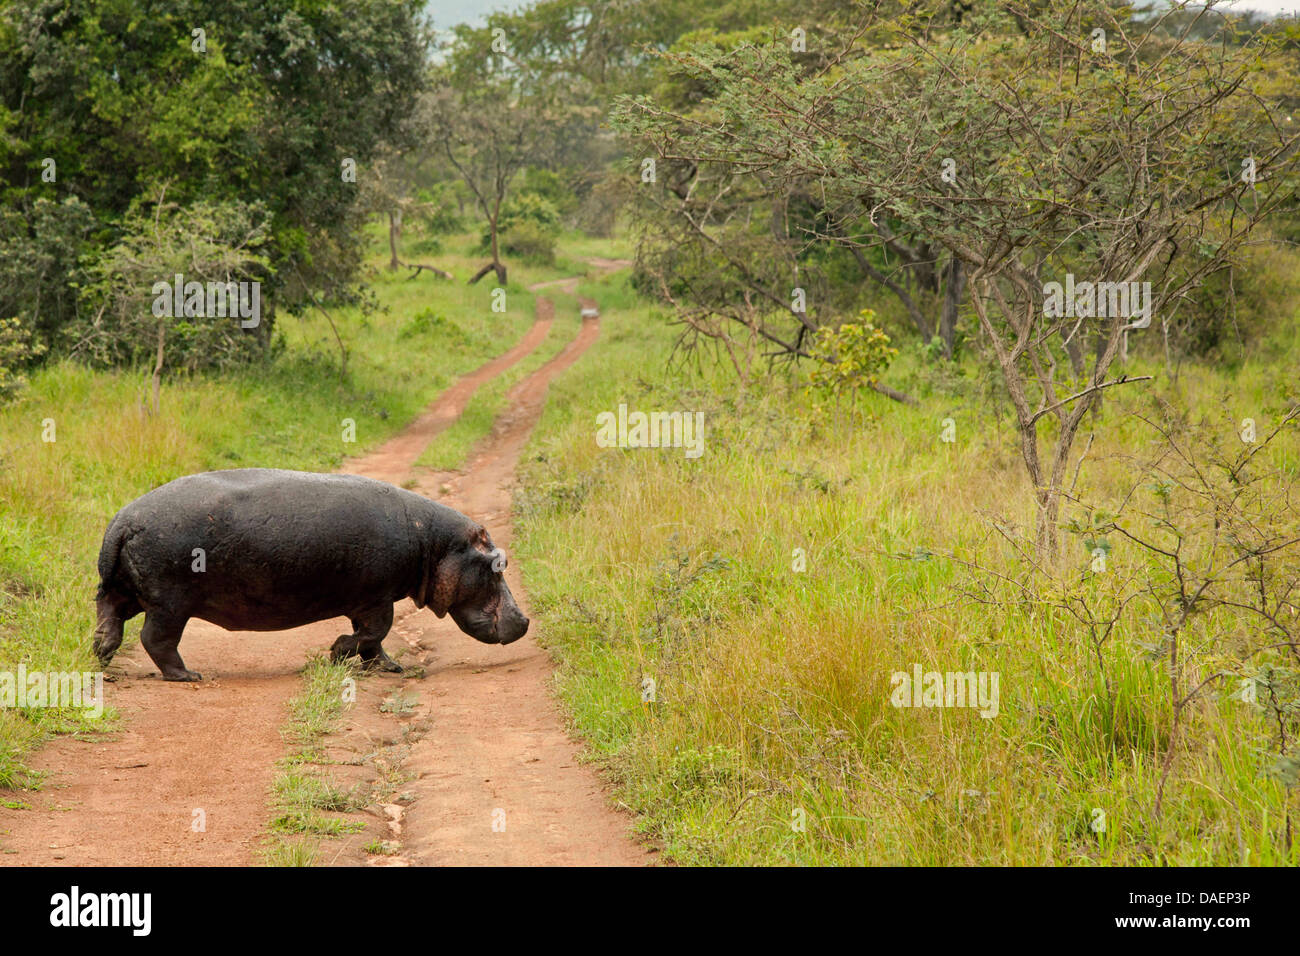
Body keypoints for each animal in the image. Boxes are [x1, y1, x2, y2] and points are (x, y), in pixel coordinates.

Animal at [91, 468, 529, 681]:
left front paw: (389, 668)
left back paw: (102, 653)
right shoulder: (378, 598)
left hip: (126, 591)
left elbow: (373, 640)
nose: (525, 620)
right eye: (498, 563)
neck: (435, 544)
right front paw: (336, 652)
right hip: (170, 604)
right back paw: (188, 676)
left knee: (109, 616)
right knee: (156, 638)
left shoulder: (367, 600)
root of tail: (122, 521)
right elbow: (374, 632)